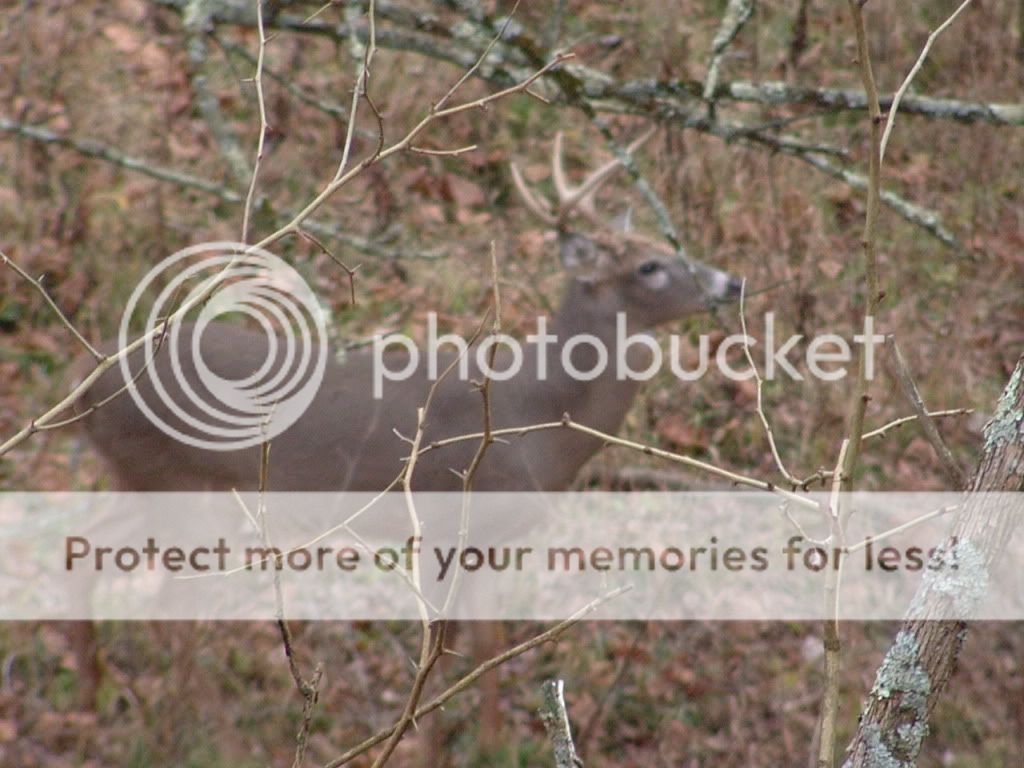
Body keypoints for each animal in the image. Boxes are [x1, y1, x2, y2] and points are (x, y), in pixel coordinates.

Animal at [69, 130, 742, 762]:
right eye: (649, 265)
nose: (731, 280)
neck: (538, 414)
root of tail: (87, 388)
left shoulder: (489, 540)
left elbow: (486, 641)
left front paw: (488, 746)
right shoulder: (445, 517)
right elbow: (443, 642)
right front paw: (427, 745)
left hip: (143, 478)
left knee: (89, 542)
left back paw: (95, 695)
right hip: (175, 482)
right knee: (171, 605)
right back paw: (206, 740)